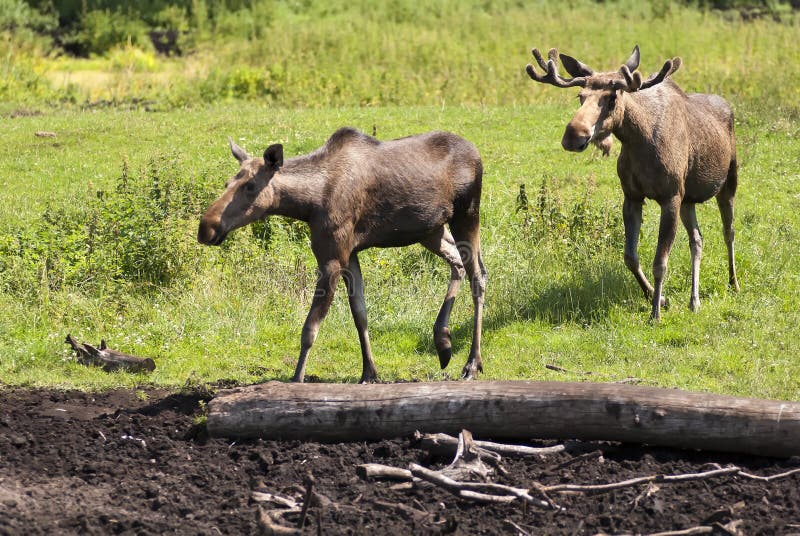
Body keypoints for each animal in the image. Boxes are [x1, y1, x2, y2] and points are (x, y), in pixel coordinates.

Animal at [198, 127, 487, 383]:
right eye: (227, 183)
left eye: (250, 186)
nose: (206, 228)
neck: (306, 205)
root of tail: (477, 153)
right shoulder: (351, 254)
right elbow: (360, 313)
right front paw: (369, 373)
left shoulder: (332, 259)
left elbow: (310, 328)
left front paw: (297, 379)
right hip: (431, 230)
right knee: (457, 263)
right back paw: (443, 341)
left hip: (467, 214)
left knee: (478, 276)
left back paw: (472, 363)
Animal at [525, 45, 739, 320]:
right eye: (580, 97)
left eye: (612, 99)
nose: (573, 135)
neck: (638, 140)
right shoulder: (633, 196)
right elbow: (630, 257)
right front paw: (659, 298)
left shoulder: (670, 197)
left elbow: (660, 262)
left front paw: (655, 312)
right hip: (688, 199)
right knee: (697, 239)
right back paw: (694, 300)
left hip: (728, 181)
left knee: (728, 231)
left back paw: (733, 283)